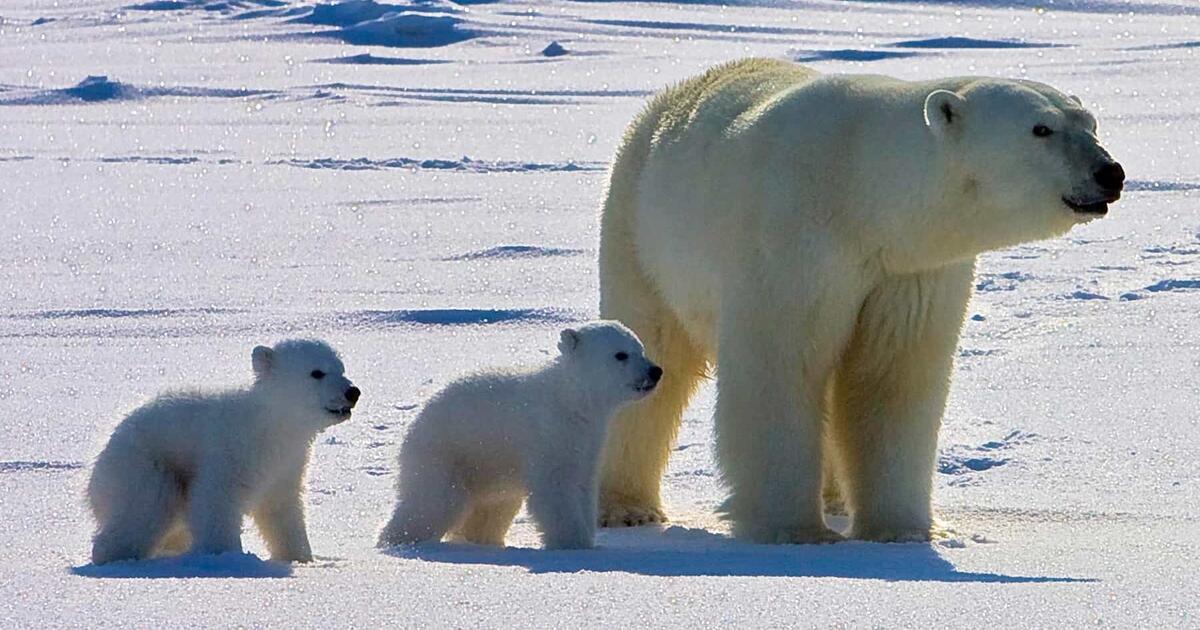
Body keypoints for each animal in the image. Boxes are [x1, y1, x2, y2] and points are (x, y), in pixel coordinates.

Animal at [86, 339, 360, 564]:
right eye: (317, 373)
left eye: (341, 368)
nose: (353, 392)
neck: (270, 426)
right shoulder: (231, 450)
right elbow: (215, 500)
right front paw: (224, 556)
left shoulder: (286, 464)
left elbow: (281, 509)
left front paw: (299, 557)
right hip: (144, 464)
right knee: (145, 508)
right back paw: (114, 554)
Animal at [377, 321, 662, 550]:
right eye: (620, 355)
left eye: (640, 348)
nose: (655, 371)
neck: (570, 401)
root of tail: (414, 426)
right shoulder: (548, 434)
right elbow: (555, 488)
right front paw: (572, 543)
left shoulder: (587, 442)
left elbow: (583, 486)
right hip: (447, 453)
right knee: (432, 502)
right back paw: (398, 541)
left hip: (489, 471)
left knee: (491, 510)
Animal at [595, 58, 1124, 543]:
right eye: (1041, 128)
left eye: (1090, 123)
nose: (1110, 173)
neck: (861, 192)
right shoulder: (793, 244)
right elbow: (783, 368)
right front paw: (793, 530)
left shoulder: (909, 271)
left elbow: (891, 376)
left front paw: (902, 531)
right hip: (640, 232)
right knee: (653, 349)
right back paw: (626, 508)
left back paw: (833, 497)